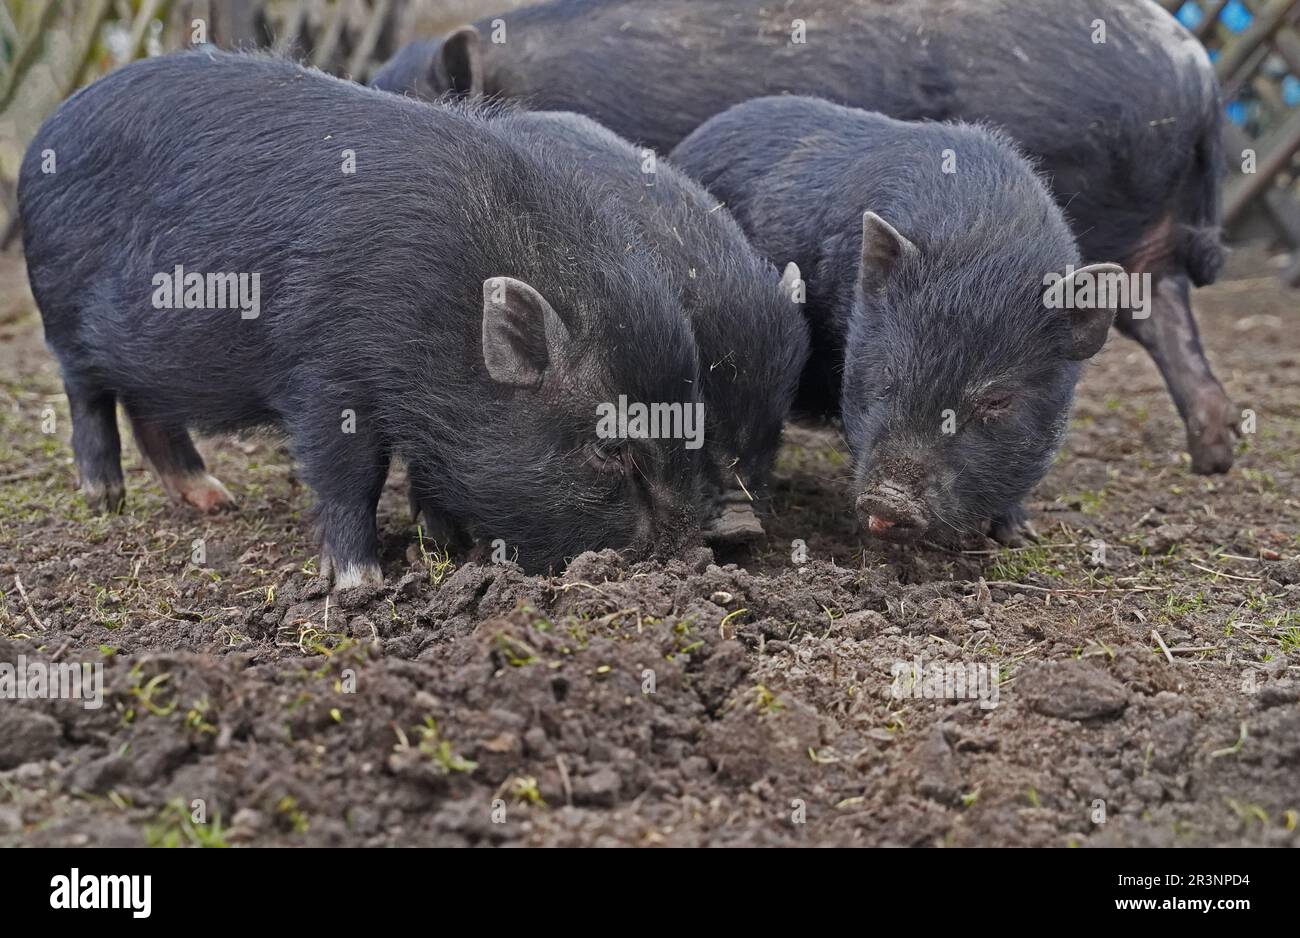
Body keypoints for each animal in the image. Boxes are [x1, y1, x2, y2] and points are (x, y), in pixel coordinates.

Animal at [18, 50, 706, 585]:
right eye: (610, 446)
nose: (681, 556)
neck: (447, 305)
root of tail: (44, 134)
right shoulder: (325, 373)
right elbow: (352, 474)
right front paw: (360, 582)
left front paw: (447, 547)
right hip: (60, 311)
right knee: (87, 396)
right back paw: (106, 499)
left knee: (148, 411)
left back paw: (215, 501)